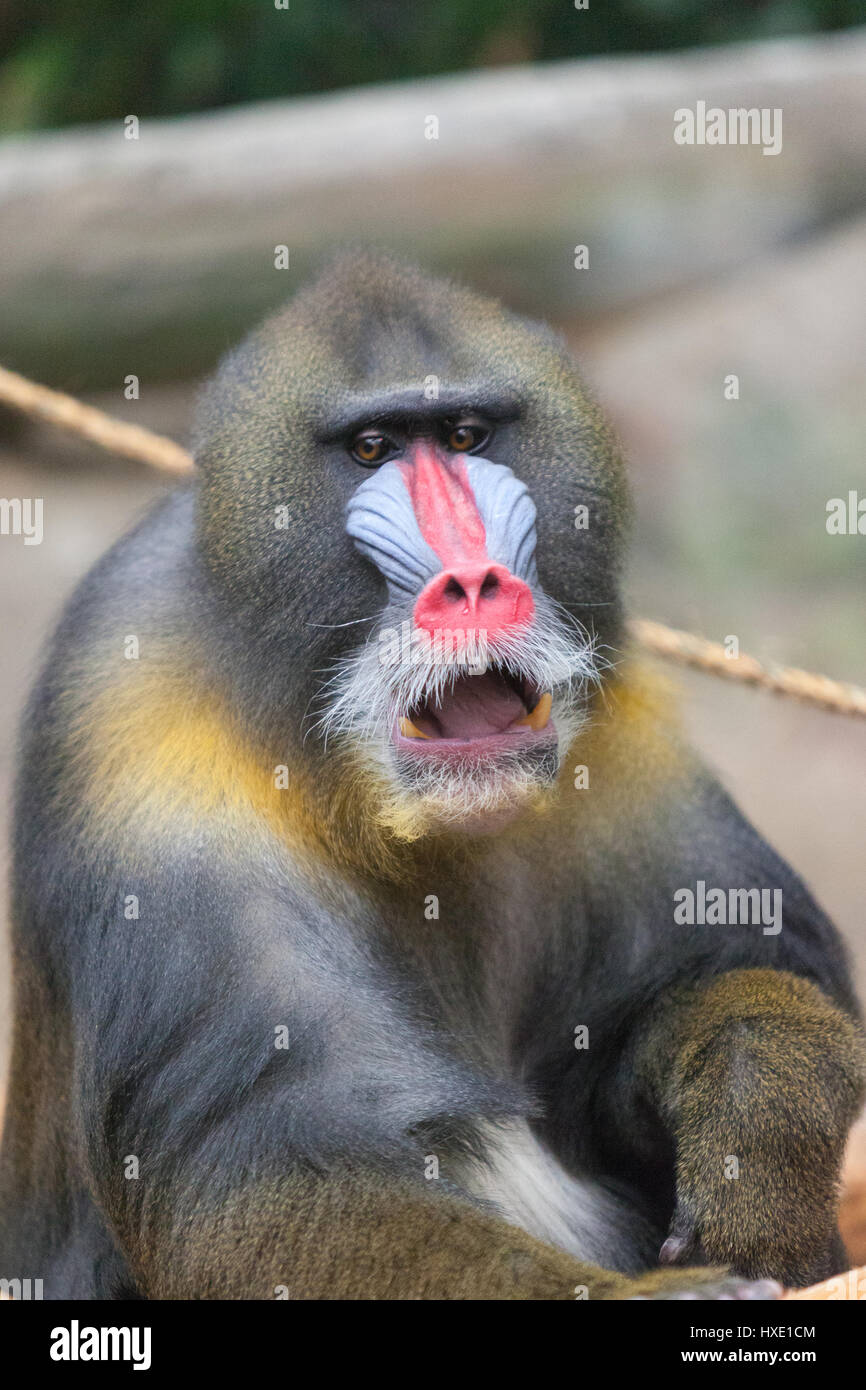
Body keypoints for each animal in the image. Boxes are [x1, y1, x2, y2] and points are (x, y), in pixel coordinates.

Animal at [0, 252, 862, 1301]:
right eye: (372, 449)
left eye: (464, 436)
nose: (476, 584)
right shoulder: (142, 748)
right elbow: (268, 1188)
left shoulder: (622, 728)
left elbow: (709, 985)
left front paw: (756, 1128)